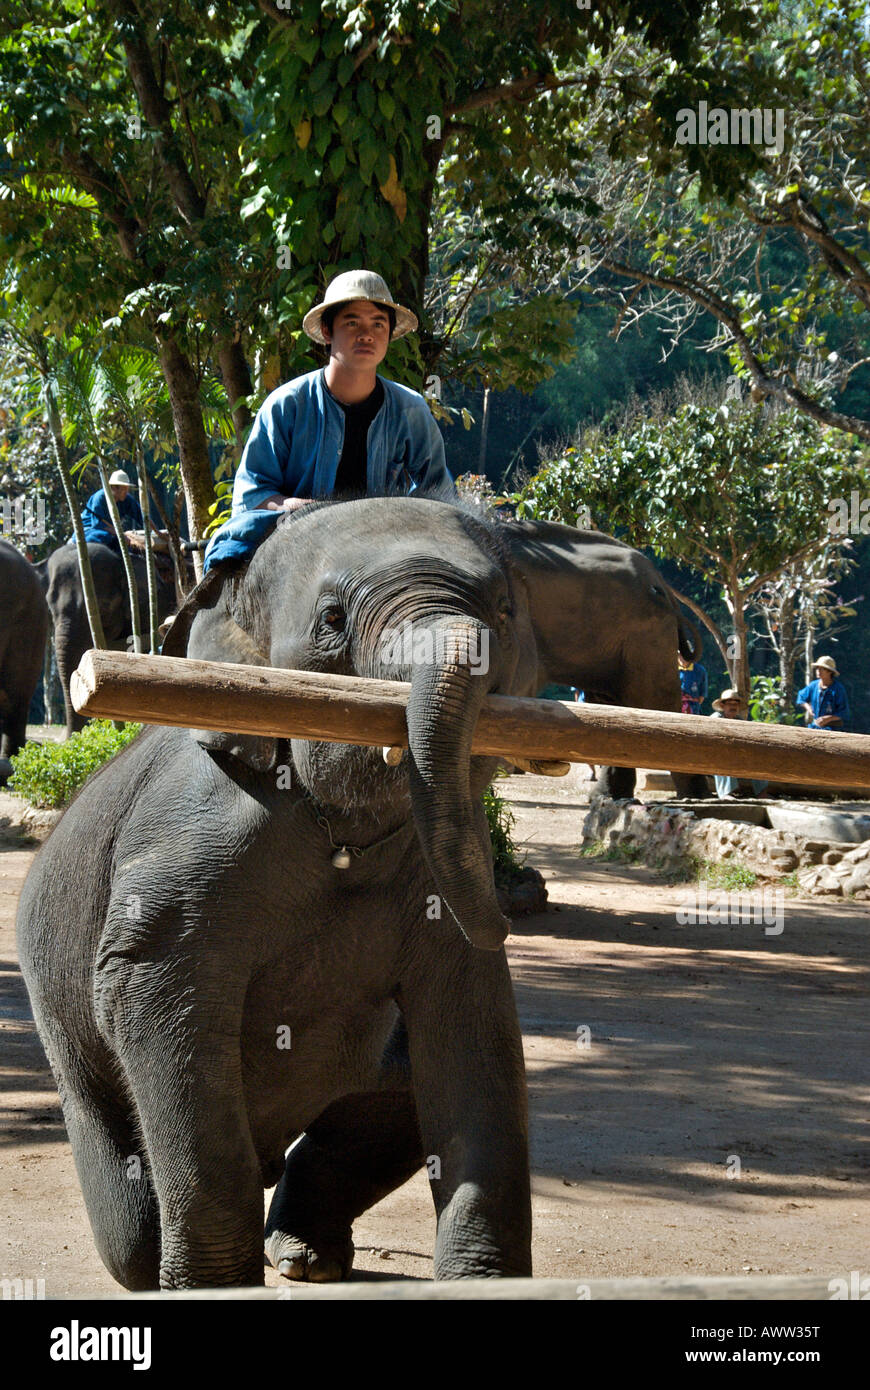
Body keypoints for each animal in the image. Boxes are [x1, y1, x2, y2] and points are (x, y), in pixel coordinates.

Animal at [497, 519, 708, 806]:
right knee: (612, 701)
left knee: (655, 700)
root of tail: (662, 583)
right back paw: (607, 797)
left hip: (646, 632)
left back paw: (695, 799)